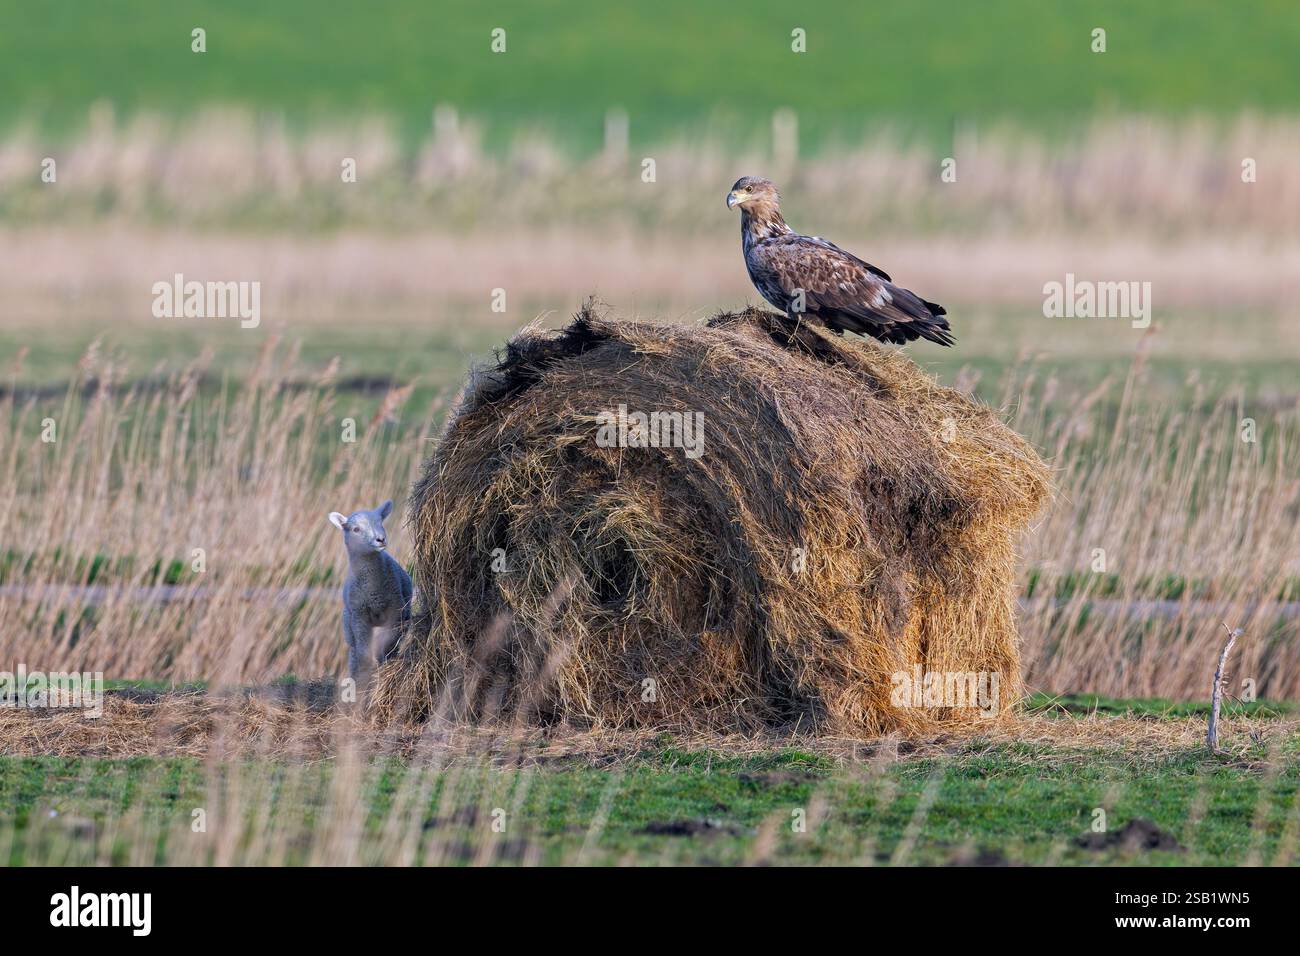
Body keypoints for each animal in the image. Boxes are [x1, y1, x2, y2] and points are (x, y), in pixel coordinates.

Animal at [327, 500, 413, 691]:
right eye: (356, 529)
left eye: (380, 522)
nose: (380, 539)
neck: (373, 588)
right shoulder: (359, 615)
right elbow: (363, 652)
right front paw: (365, 675)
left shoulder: (395, 610)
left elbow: (388, 645)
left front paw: (385, 665)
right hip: (348, 623)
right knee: (353, 652)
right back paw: (354, 676)